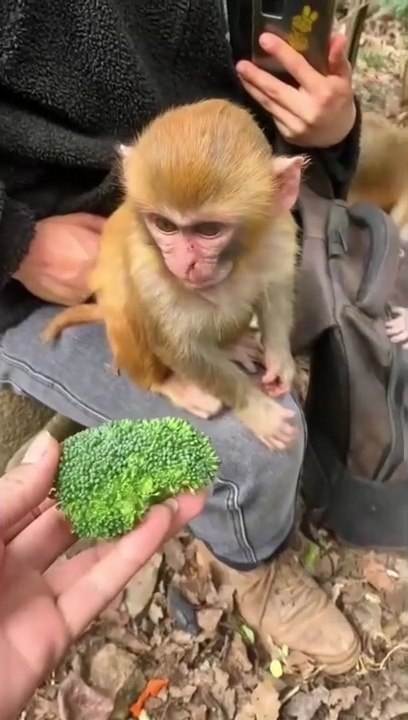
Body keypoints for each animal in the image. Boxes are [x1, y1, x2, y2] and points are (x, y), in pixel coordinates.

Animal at [42, 99, 304, 451]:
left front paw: (280, 361)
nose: (185, 263)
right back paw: (169, 384)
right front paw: (257, 409)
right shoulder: (149, 268)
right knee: (126, 309)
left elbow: (276, 289)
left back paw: (230, 346)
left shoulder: (278, 231)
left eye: (209, 230)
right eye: (165, 225)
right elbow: (174, 343)